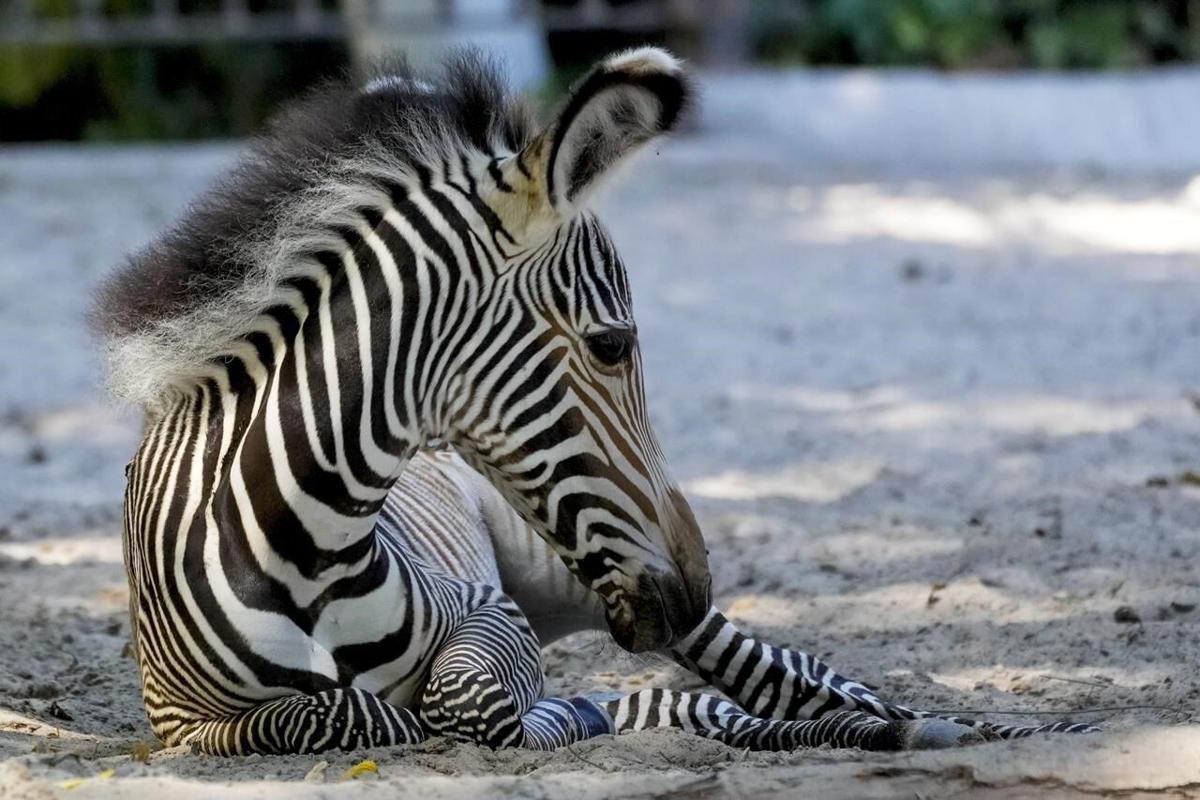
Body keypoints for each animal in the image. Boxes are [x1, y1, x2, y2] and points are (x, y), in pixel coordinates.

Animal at [93, 47, 1095, 756]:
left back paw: (955, 727)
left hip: (581, 579)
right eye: (612, 344)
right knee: (697, 704)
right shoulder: (177, 722)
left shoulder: (488, 614)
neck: (305, 550)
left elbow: (462, 701)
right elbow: (330, 717)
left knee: (785, 678)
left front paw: (546, 717)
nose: (693, 584)